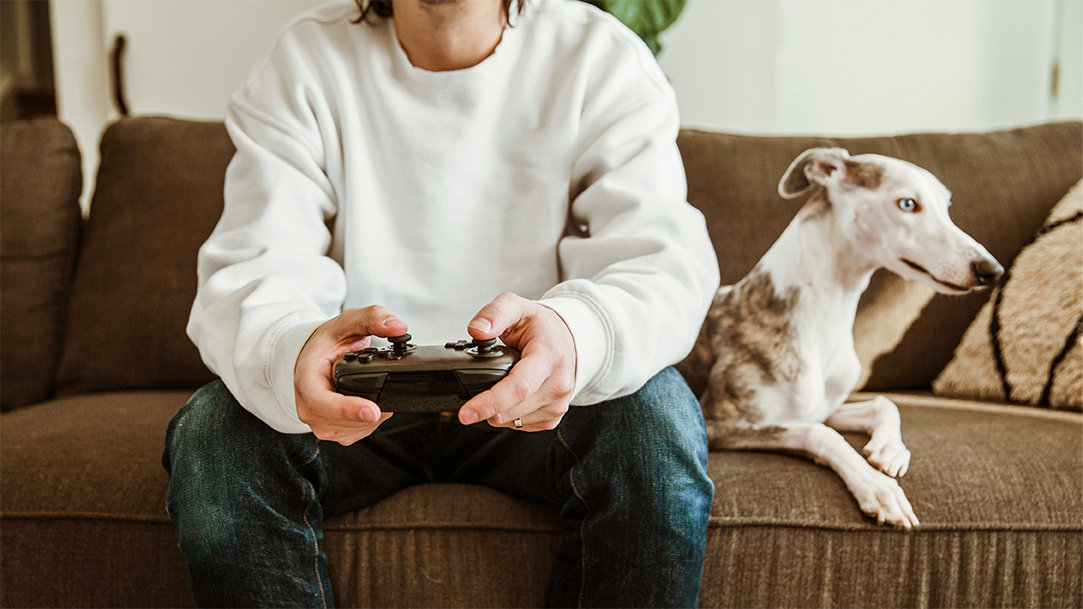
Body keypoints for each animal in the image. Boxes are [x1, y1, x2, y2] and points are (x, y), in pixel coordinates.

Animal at [684, 148, 1005, 526]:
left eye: (946, 205)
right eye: (908, 203)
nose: (992, 271)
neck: (822, 323)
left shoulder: (825, 408)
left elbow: (883, 402)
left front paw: (889, 448)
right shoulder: (719, 423)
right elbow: (822, 432)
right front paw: (877, 487)